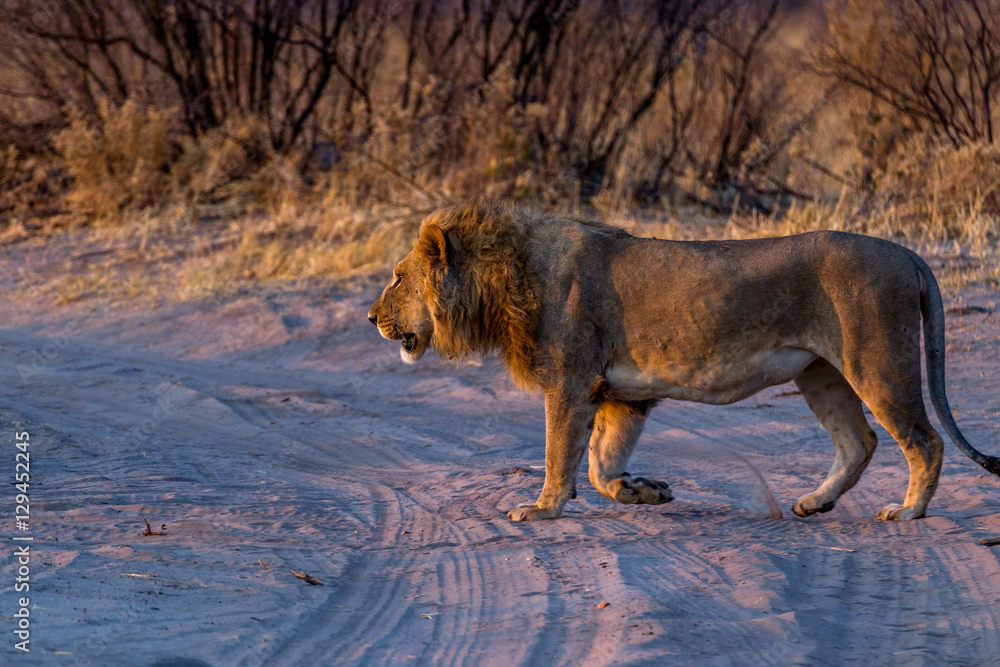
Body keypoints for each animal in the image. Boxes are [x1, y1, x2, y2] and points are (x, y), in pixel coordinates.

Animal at [368, 197, 999, 522]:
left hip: (876, 362)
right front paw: (644, 492)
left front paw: (542, 510)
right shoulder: (624, 393)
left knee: (924, 440)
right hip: (819, 372)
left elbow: (557, 456)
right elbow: (599, 466)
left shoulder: (570, 383)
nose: (371, 317)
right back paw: (815, 502)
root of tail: (907, 253)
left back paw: (909, 511)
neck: (504, 275)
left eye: (396, 277)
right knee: (859, 441)